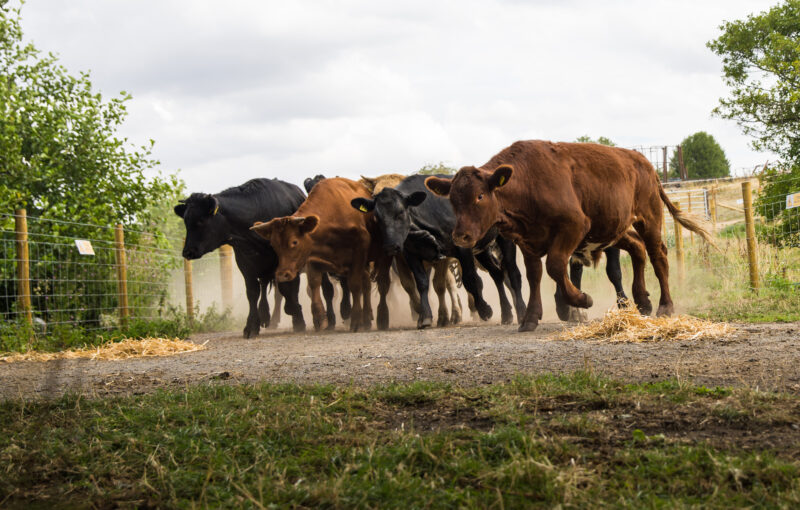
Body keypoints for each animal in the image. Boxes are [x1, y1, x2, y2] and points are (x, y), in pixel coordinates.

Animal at [174, 178, 307, 337]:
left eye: (200, 221)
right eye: (186, 222)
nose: (187, 252)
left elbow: (289, 289)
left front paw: (298, 318)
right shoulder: (245, 264)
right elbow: (252, 293)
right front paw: (251, 326)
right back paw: (267, 317)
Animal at [251, 177, 392, 332]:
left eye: (294, 242)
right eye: (273, 244)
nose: (282, 275)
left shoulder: (360, 249)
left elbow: (354, 285)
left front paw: (355, 320)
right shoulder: (314, 257)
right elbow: (314, 284)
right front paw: (320, 318)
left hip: (382, 257)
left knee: (382, 284)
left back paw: (381, 318)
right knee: (366, 283)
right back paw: (366, 318)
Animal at [351, 173, 527, 329]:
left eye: (400, 213)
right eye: (377, 217)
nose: (391, 246)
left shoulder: (459, 251)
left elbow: (469, 279)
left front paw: (484, 310)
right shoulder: (411, 255)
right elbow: (421, 283)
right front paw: (425, 317)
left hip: (504, 240)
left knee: (512, 273)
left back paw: (521, 311)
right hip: (482, 250)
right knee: (497, 274)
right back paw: (506, 314)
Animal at [425, 140, 713, 332]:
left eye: (480, 196)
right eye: (452, 200)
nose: (460, 236)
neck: (528, 181)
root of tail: (643, 162)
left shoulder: (574, 226)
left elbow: (555, 266)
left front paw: (579, 300)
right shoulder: (528, 241)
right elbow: (535, 275)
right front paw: (531, 317)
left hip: (649, 217)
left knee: (657, 255)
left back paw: (665, 306)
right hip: (614, 229)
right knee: (637, 249)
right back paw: (641, 300)